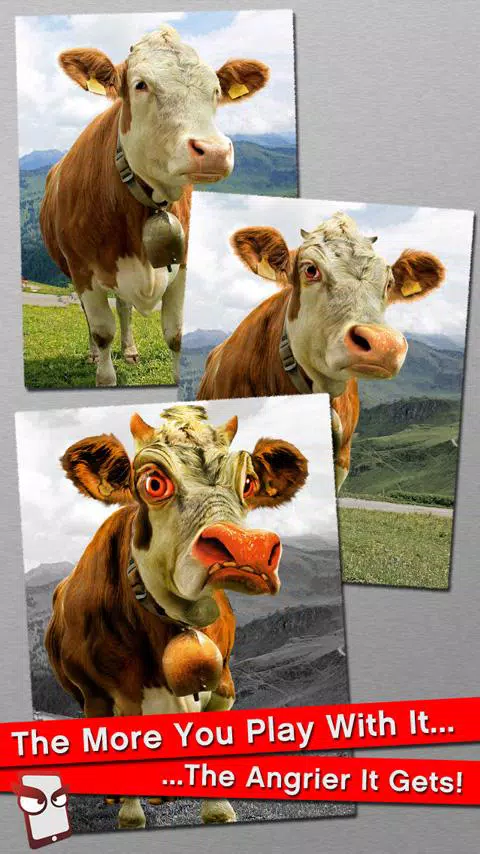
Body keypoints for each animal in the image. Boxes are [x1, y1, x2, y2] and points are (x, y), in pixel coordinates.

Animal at [40, 25, 269, 387]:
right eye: (141, 85)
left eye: (216, 90)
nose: (214, 151)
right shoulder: (82, 270)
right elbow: (102, 331)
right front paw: (104, 370)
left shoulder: (183, 267)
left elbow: (175, 335)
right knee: (91, 317)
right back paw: (93, 354)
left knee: (123, 306)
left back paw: (131, 351)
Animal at [45, 404, 307, 828]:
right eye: (154, 483)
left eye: (248, 482)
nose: (246, 549)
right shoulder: (114, 692)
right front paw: (130, 813)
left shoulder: (223, 677)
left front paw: (217, 808)